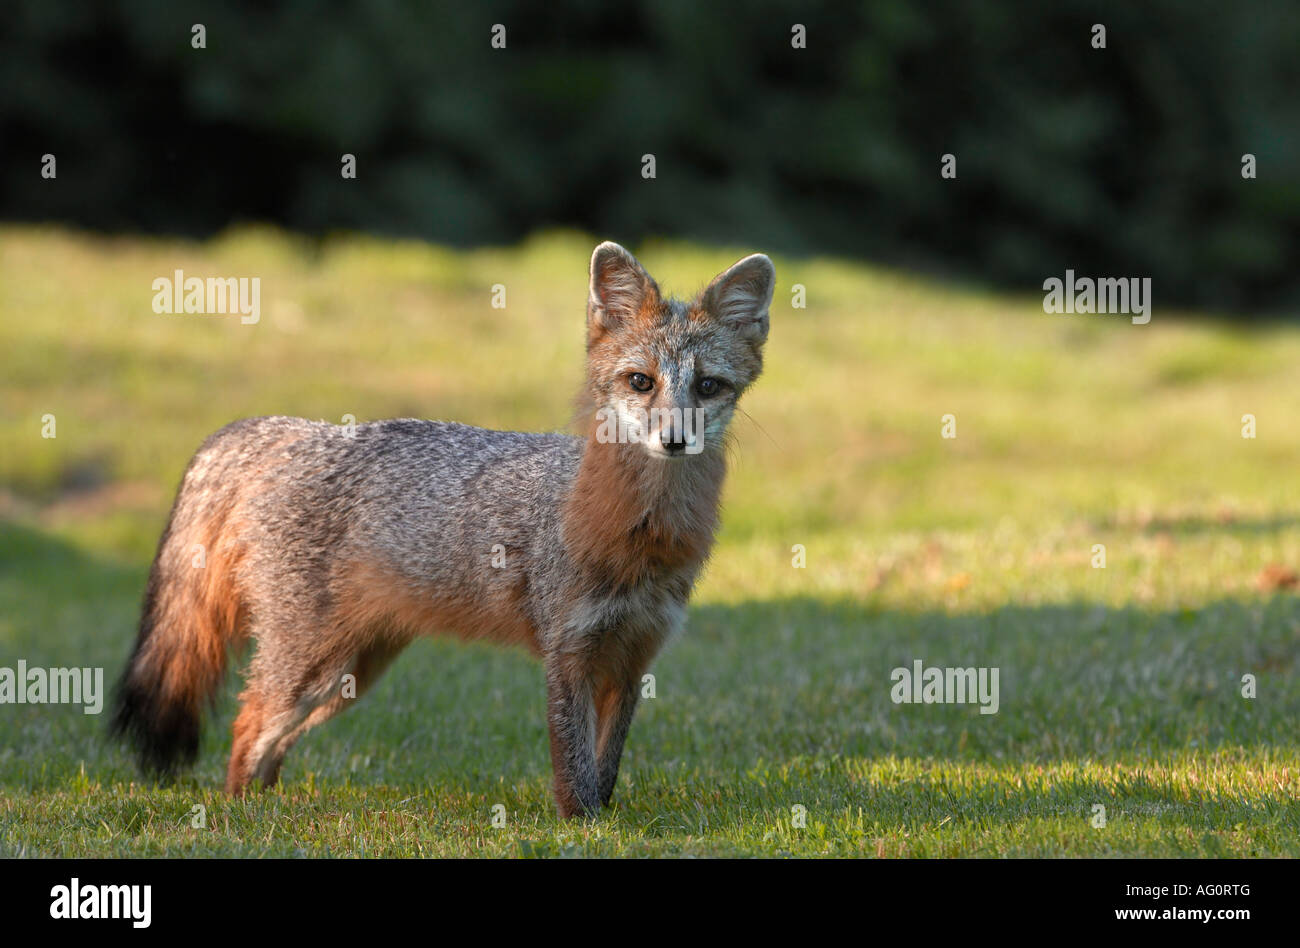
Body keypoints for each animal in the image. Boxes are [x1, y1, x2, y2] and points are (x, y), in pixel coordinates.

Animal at [111, 241, 775, 817]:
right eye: (642, 382)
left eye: (708, 387)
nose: (675, 439)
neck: (642, 538)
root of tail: (290, 431)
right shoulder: (568, 654)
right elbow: (574, 769)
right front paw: (583, 829)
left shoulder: (632, 660)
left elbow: (605, 768)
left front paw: (606, 821)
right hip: (308, 669)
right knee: (247, 728)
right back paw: (240, 818)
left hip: (349, 675)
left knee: (267, 745)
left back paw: (269, 812)